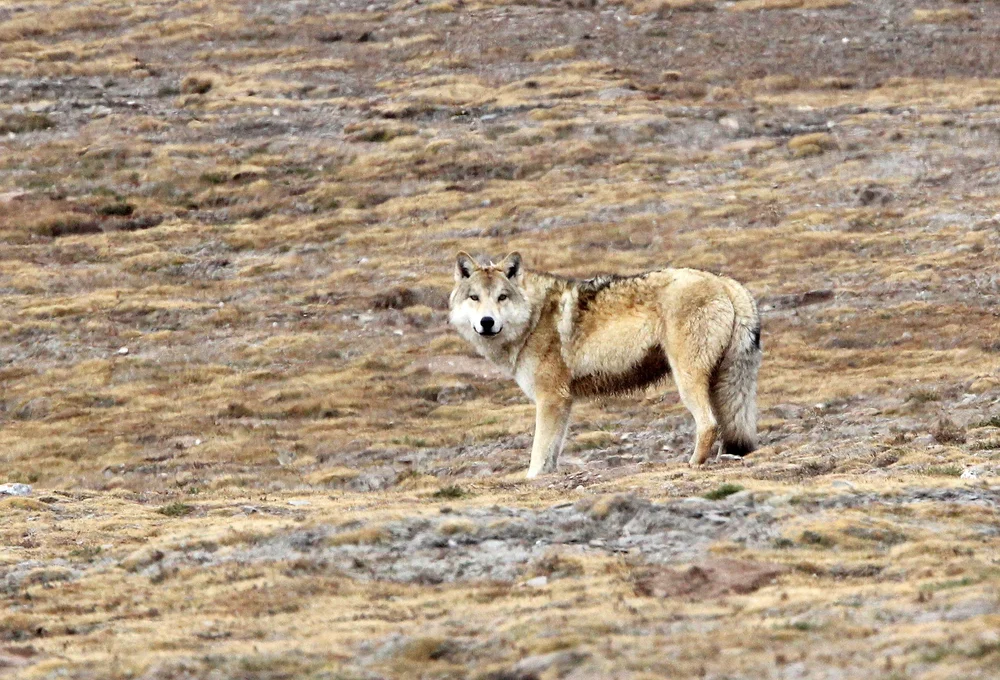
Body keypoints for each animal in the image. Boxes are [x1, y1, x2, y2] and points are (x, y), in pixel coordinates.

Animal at [448, 252, 761, 478]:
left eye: (502, 297)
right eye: (474, 297)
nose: (487, 322)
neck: (534, 319)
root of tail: (725, 281)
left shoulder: (550, 399)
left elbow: (538, 454)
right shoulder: (563, 403)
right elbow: (551, 454)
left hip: (687, 379)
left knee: (708, 424)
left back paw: (692, 463)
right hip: (724, 384)